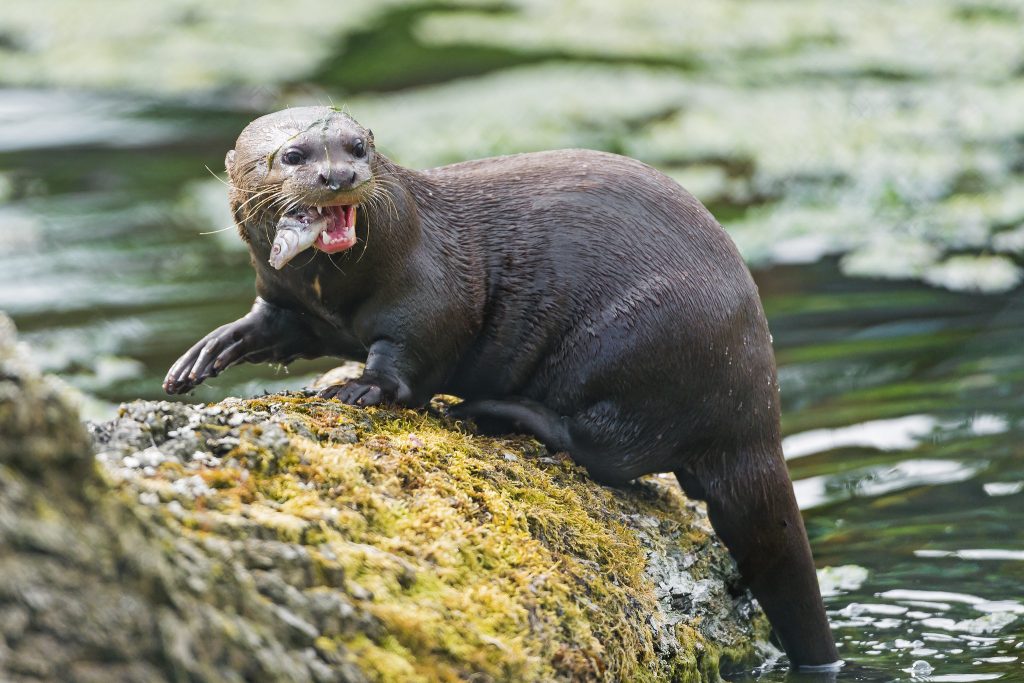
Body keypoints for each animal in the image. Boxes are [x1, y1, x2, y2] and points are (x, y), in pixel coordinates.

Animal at [164, 107, 839, 669]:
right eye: (293, 155)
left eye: (358, 147)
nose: (339, 175)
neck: (340, 286)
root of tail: (756, 415)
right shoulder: (292, 303)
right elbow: (267, 326)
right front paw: (205, 353)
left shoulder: (432, 293)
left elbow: (410, 359)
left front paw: (359, 389)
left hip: (634, 341)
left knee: (614, 450)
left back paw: (497, 411)